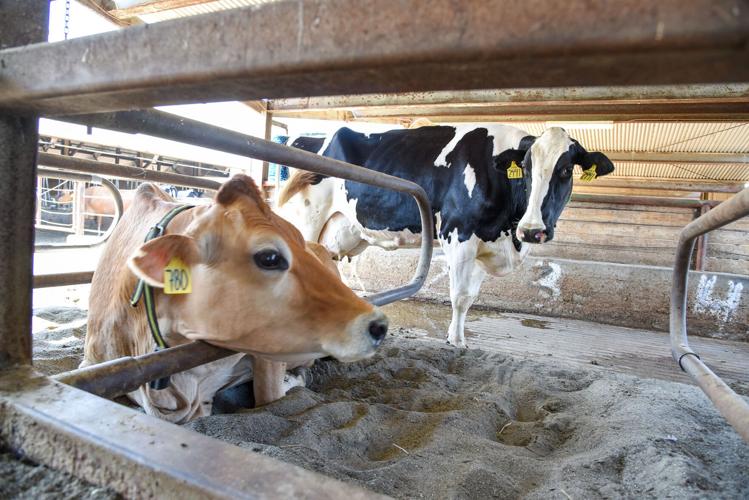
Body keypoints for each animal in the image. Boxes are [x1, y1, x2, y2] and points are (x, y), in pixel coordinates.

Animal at [277, 125, 614, 348]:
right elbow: (460, 296)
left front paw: (459, 338)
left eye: (566, 170)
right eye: (526, 168)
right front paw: (455, 342)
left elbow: (471, 297)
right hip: (306, 219)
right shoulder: (458, 232)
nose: (532, 229)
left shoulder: (484, 243)